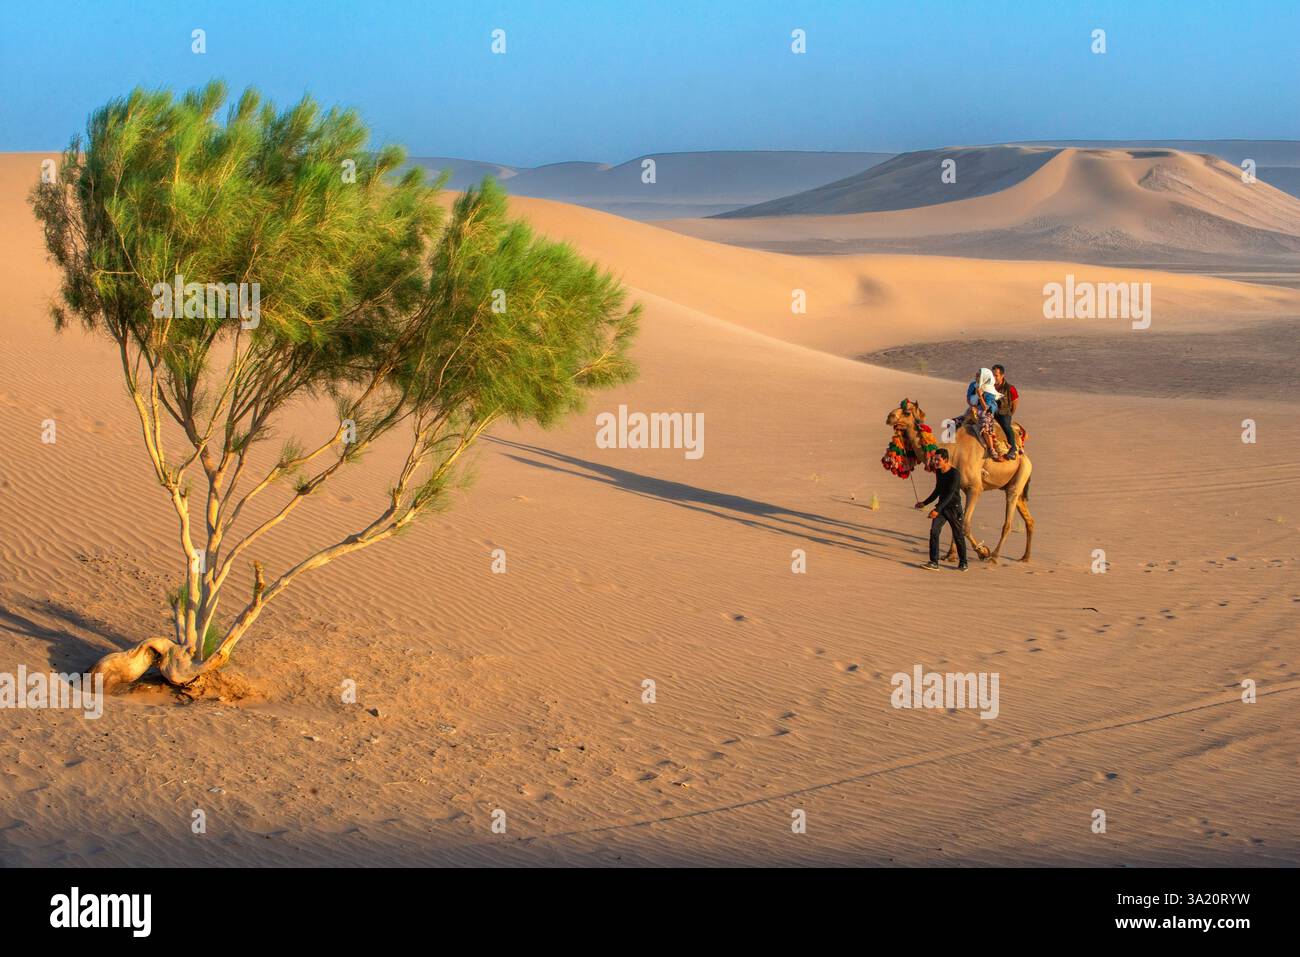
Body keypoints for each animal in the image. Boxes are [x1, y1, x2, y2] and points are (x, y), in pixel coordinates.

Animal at [884, 399, 1034, 564]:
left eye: (907, 412)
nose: (889, 417)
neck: (954, 451)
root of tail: (1025, 456)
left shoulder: (975, 488)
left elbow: (964, 525)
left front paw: (983, 552)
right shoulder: (958, 487)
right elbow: (956, 522)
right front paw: (951, 555)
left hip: (1020, 476)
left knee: (1008, 520)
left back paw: (994, 557)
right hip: (1015, 486)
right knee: (1029, 519)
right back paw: (1025, 557)